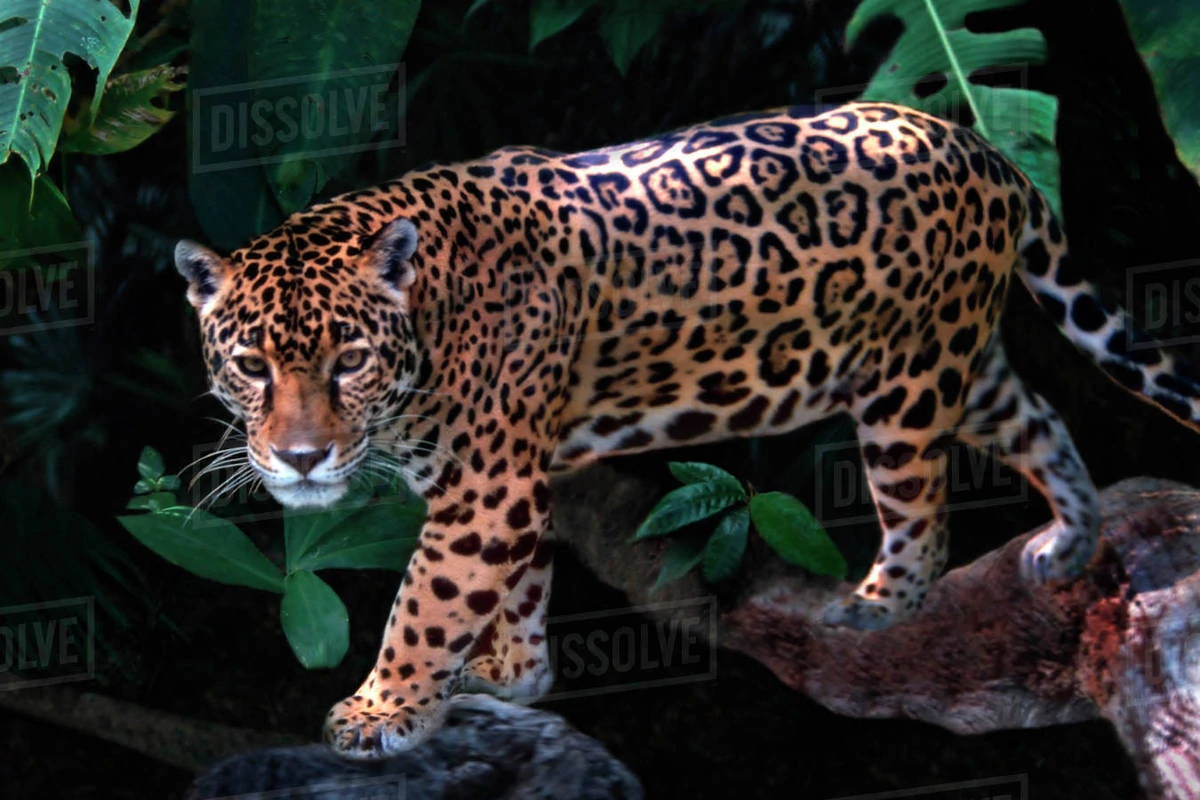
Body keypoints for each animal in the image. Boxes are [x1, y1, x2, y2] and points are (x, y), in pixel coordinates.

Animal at [174, 101, 1200, 759]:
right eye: (252, 366)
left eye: (348, 361)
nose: (301, 457)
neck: (429, 323)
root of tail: (980, 144)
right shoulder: (515, 480)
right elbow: (517, 589)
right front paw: (512, 676)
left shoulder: (486, 489)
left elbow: (428, 602)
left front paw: (381, 709)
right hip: (954, 361)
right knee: (1038, 417)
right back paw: (1068, 544)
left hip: (905, 386)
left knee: (923, 511)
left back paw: (875, 607)